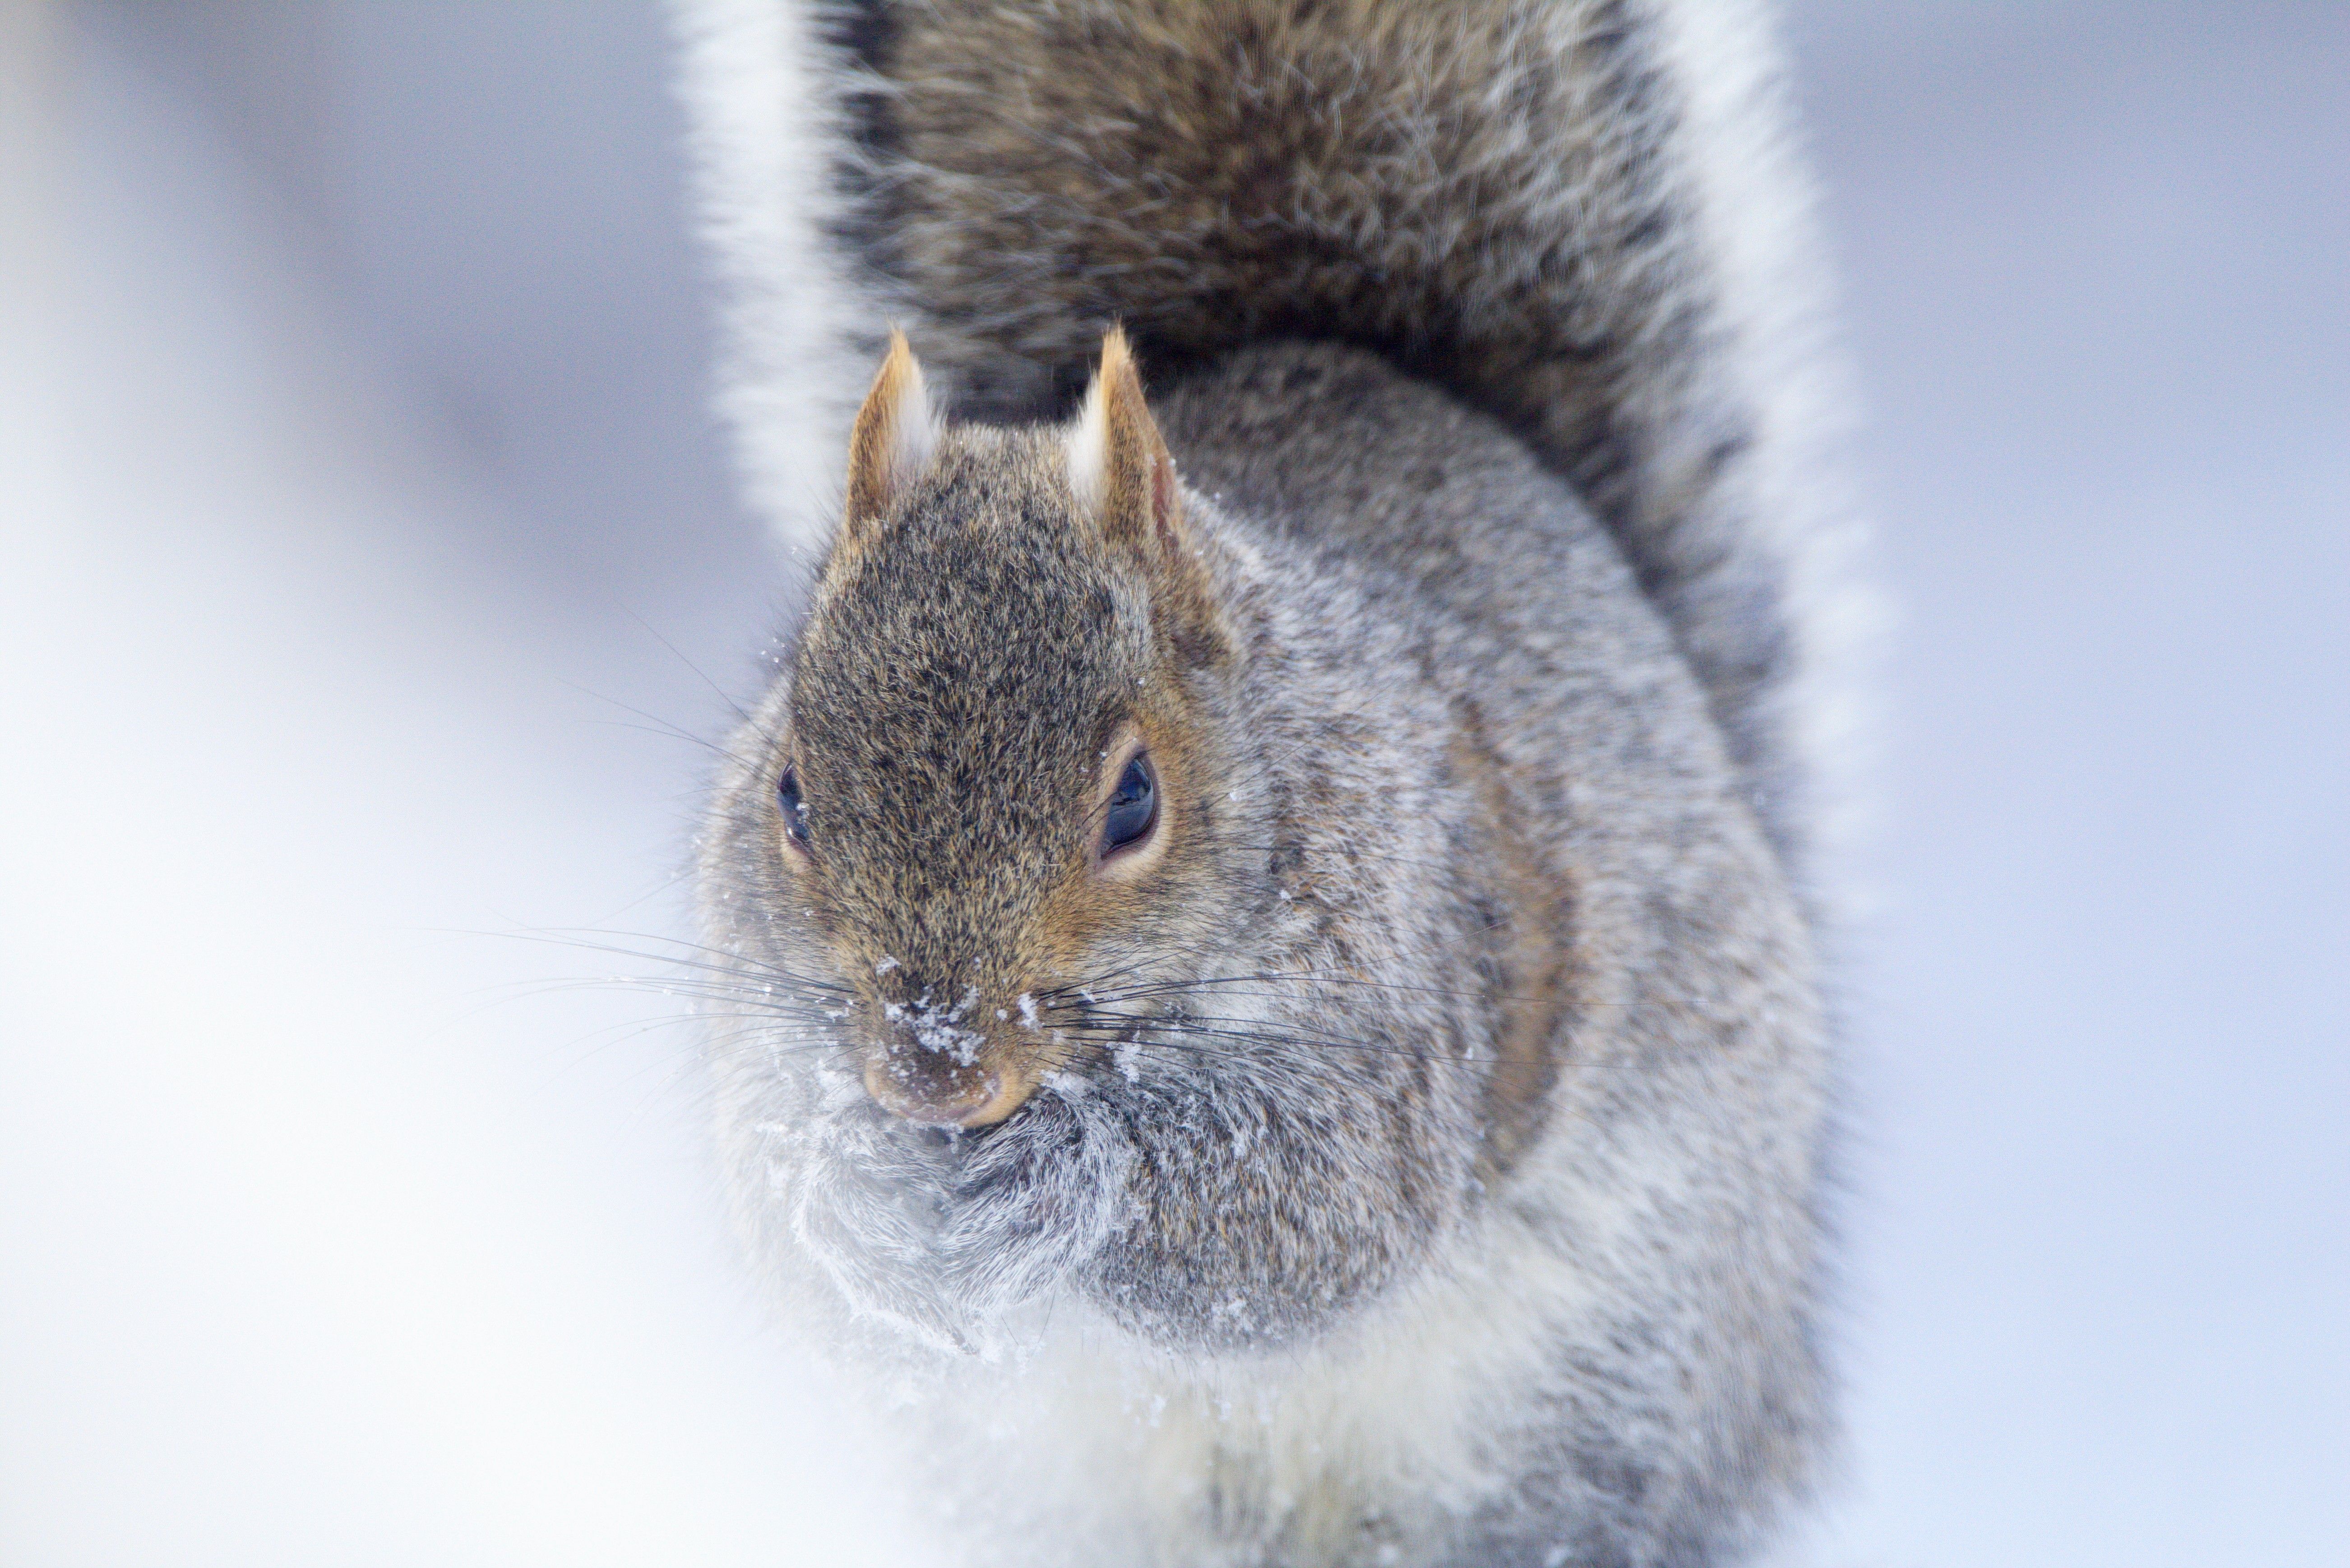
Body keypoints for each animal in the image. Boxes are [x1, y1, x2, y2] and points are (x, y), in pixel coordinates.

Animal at [678, 1, 1861, 1563]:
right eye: (793, 798)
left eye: (1133, 803)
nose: (932, 1071)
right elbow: (781, 1230)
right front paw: (840, 1196)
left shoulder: (1419, 955)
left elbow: (1318, 1210)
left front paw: (1066, 1177)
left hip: (1611, 1392)